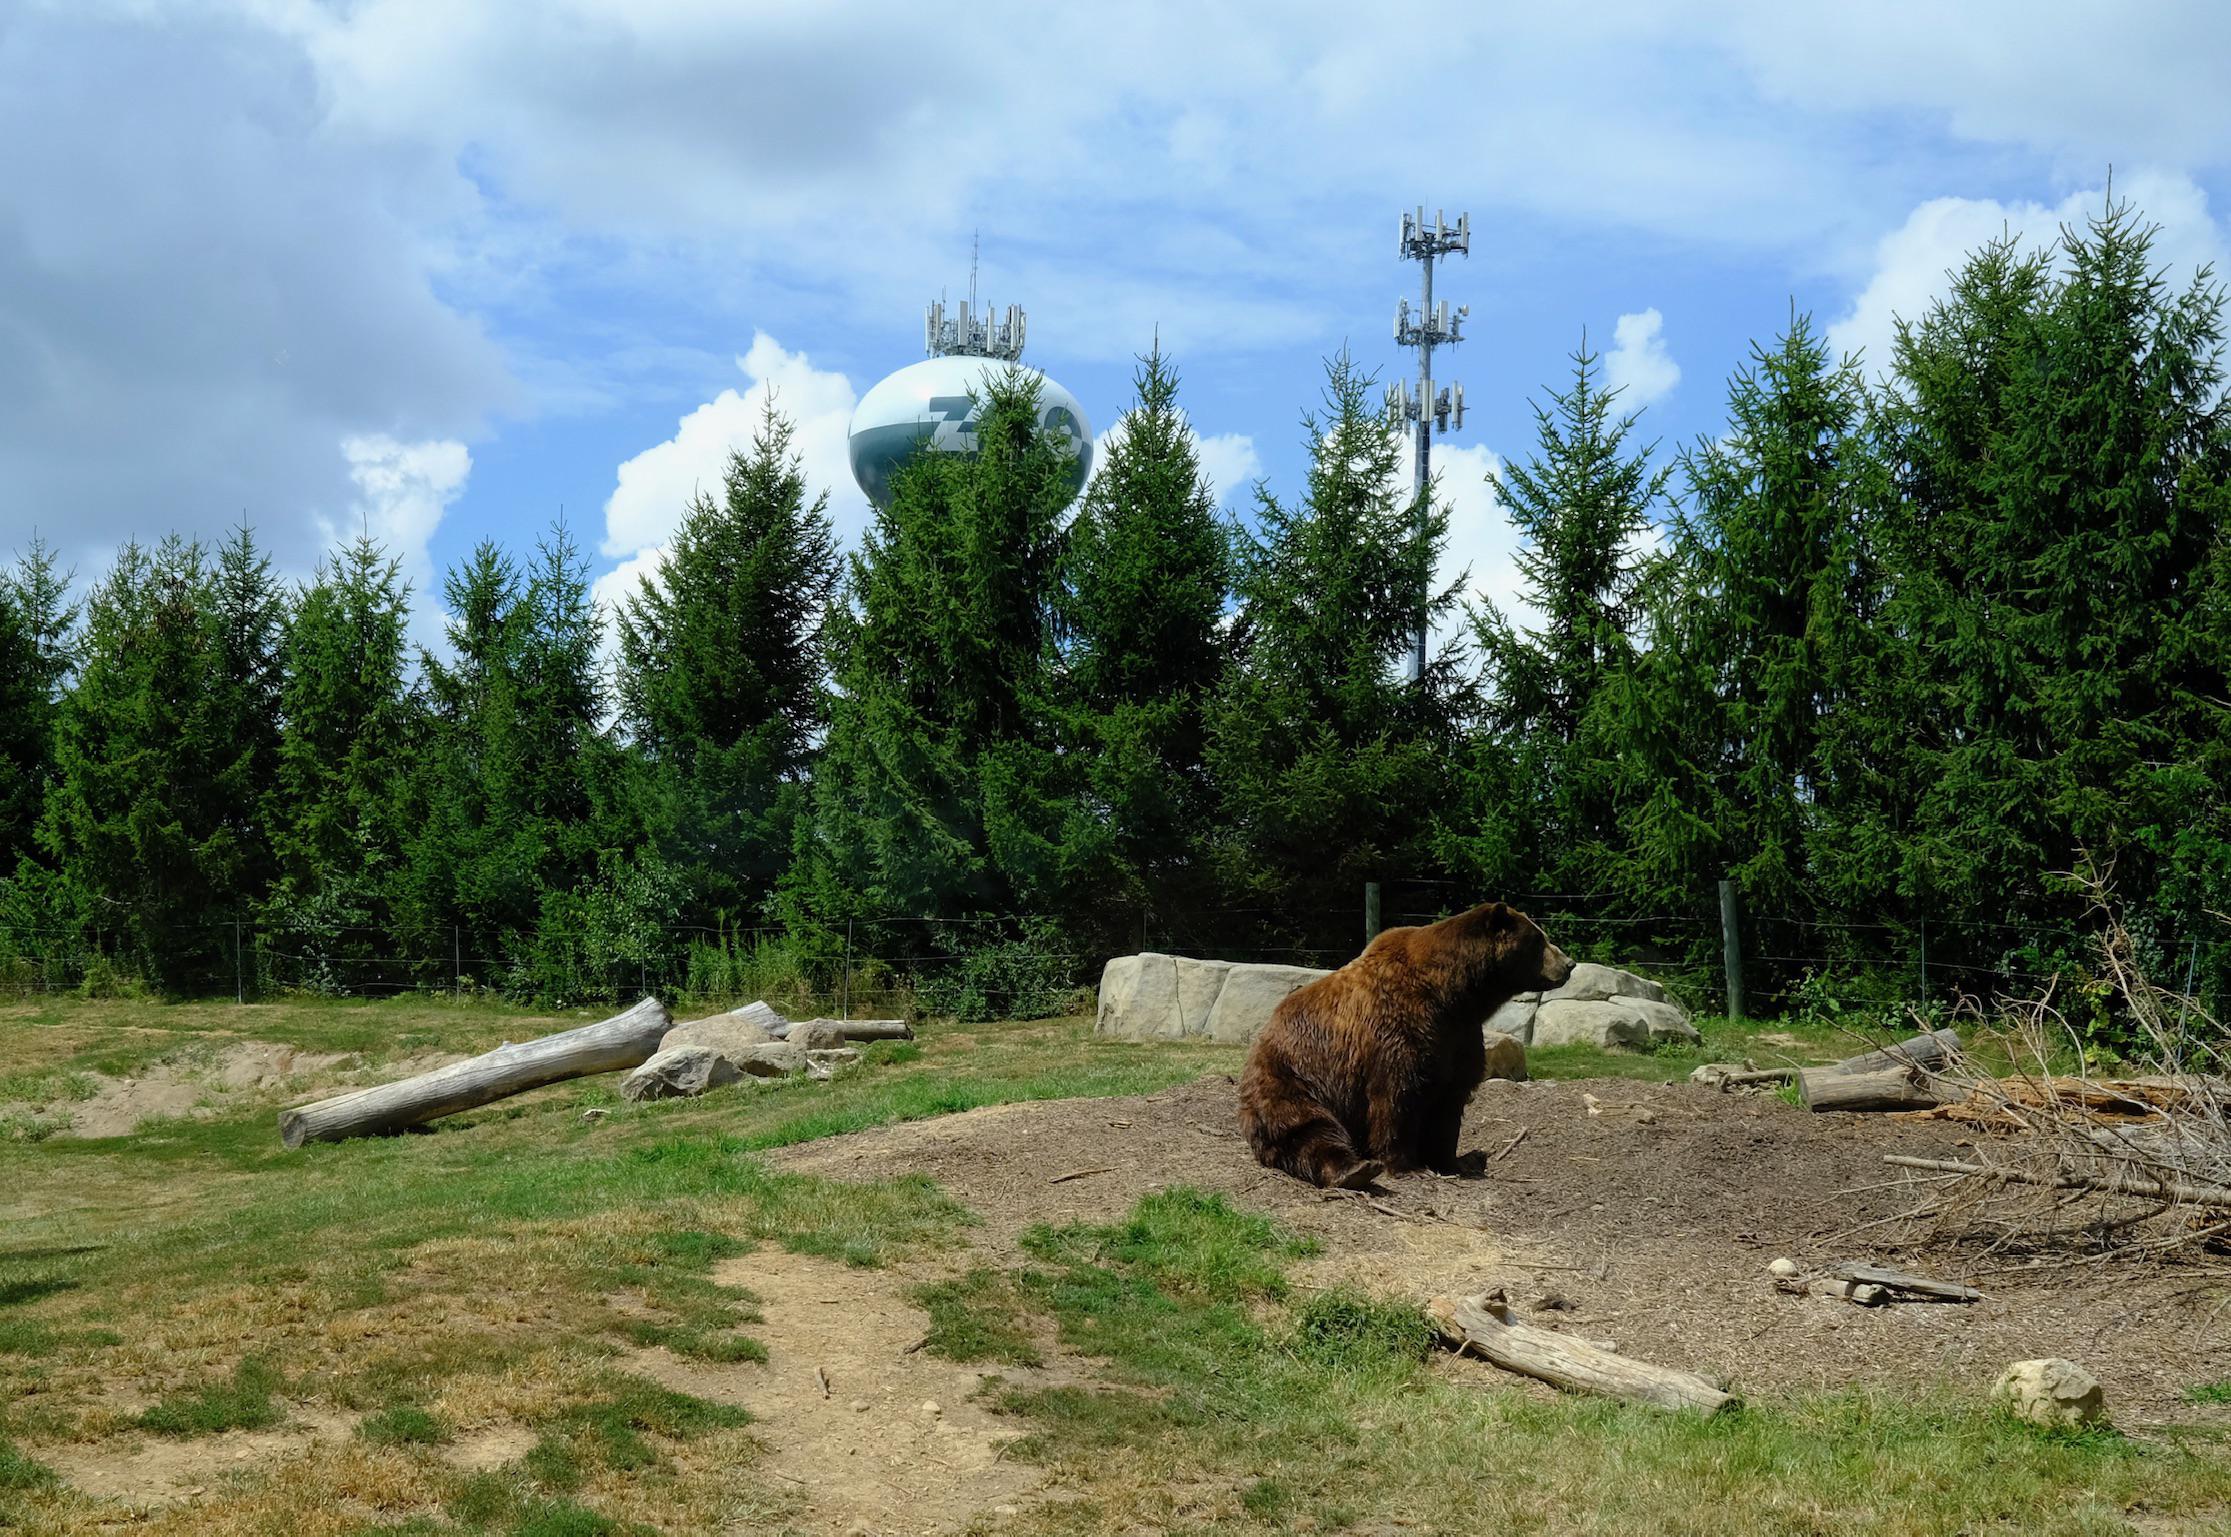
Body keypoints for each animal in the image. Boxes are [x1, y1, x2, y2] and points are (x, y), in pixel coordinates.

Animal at [1237, 901, 1573, 1189]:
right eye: (1538, 939)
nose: (1568, 964)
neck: (1454, 996)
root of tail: (1262, 1036)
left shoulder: (1457, 1037)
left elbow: (1450, 1102)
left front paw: (1451, 1162)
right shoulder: (1397, 1032)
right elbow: (1396, 1096)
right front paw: (1408, 1166)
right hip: (1294, 1077)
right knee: (1307, 1127)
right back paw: (1354, 1169)